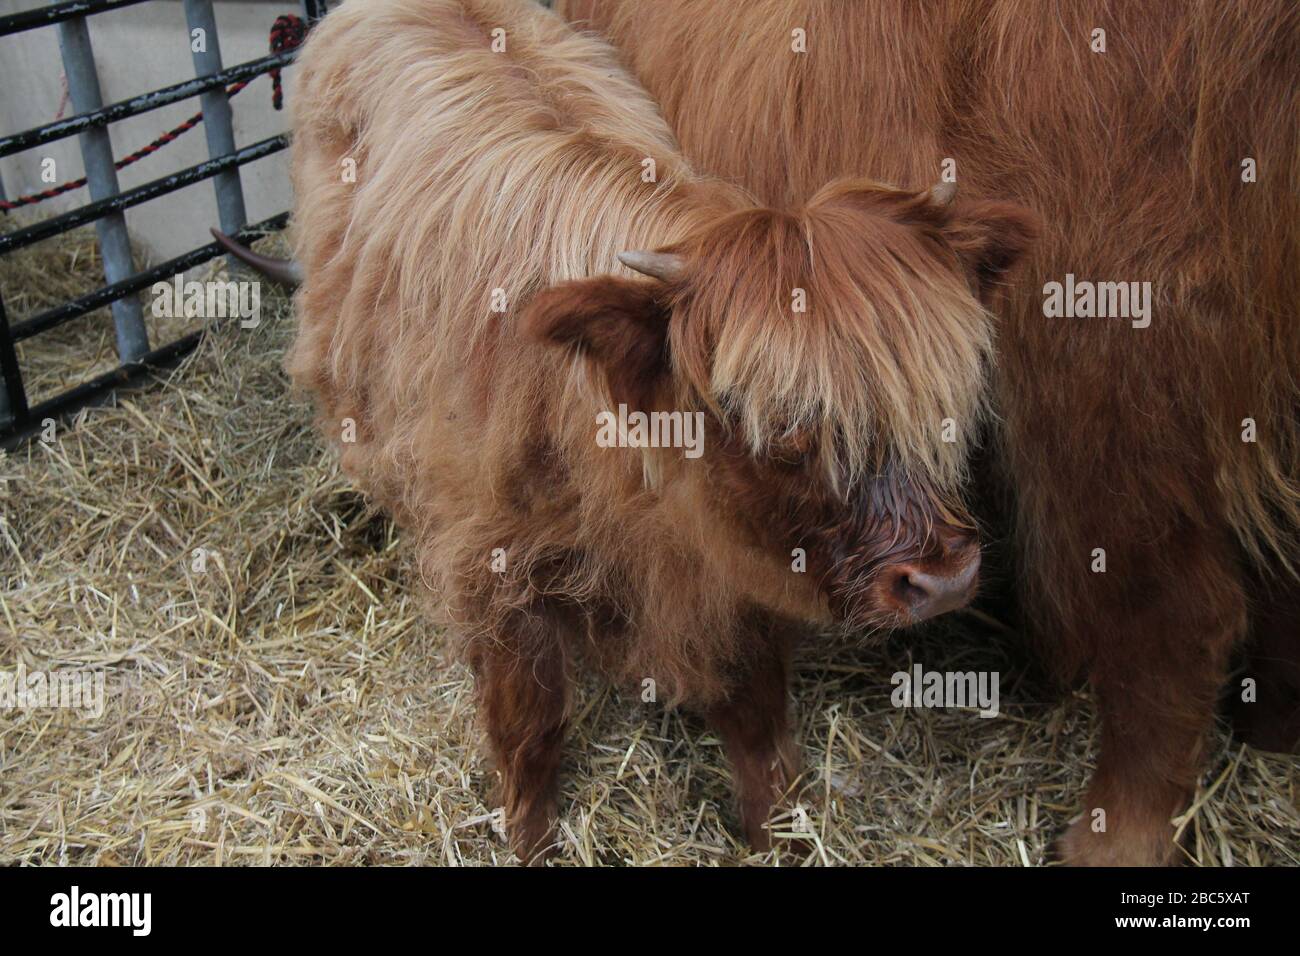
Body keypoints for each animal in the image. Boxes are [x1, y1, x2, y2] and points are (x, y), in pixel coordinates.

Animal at [277, 0, 1036, 860]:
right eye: (776, 423)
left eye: (942, 396)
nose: (944, 579)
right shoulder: (494, 573)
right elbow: (529, 732)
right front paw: (530, 841)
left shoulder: (735, 573)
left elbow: (758, 724)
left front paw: (774, 831)